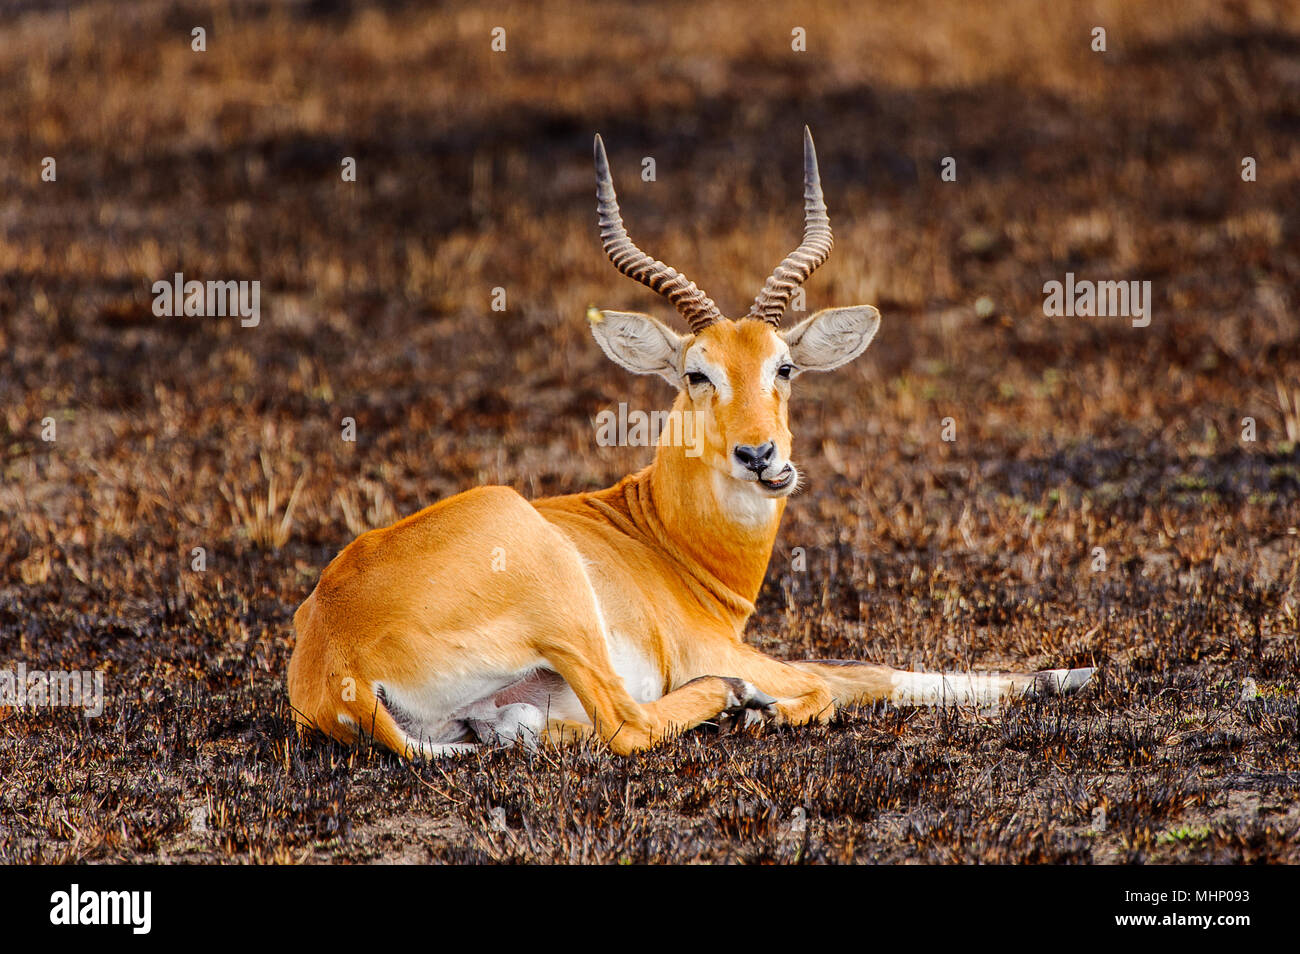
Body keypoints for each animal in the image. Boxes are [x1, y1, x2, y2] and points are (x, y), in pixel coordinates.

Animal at [287, 128, 1094, 758]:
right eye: (696, 372)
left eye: (784, 365)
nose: (762, 457)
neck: (661, 540)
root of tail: (337, 663)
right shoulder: (725, 647)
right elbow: (845, 678)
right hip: (568, 616)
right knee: (628, 725)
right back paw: (736, 701)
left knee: (529, 729)